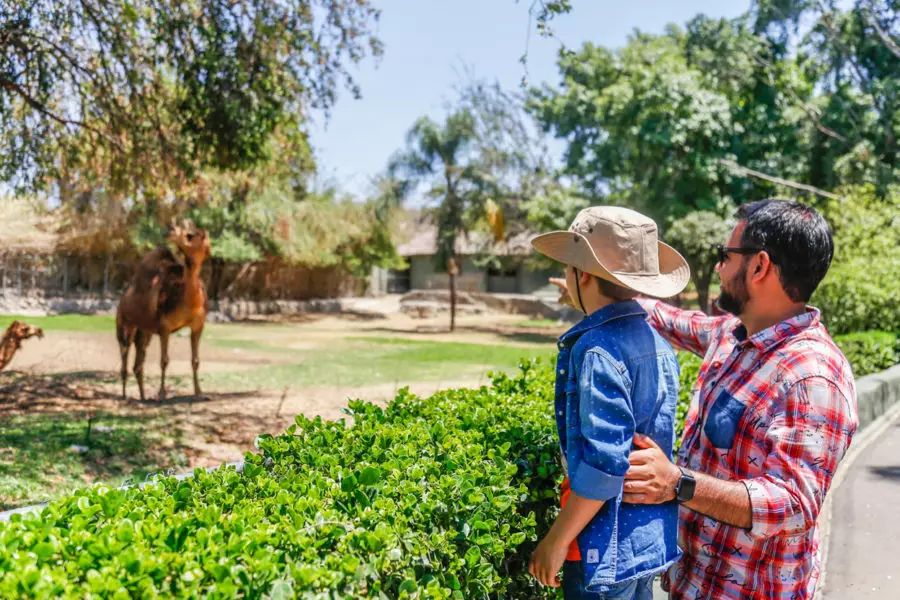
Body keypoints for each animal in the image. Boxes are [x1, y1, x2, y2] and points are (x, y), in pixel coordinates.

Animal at [118, 218, 211, 400]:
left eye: (190, 235)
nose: (169, 230)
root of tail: (123, 296)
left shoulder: (198, 326)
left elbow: (195, 360)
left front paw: (200, 393)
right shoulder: (164, 327)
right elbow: (164, 360)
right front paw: (162, 394)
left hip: (144, 332)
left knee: (138, 364)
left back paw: (143, 397)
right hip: (125, 323)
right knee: (124, 352)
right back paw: (124, 395)